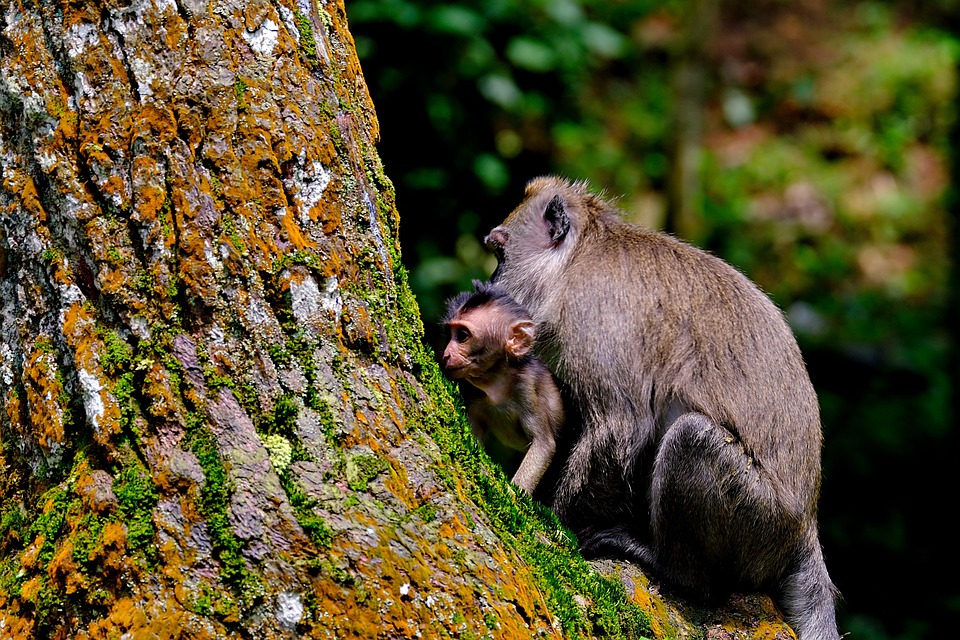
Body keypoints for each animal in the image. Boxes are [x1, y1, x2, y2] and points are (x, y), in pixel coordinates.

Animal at [441, 281, 564, 496]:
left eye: (462, 336)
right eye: (449, 334)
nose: (446, 355)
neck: (496, 382)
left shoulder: (527, 387)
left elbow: (543, 444)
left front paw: (514, 495)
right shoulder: (474, 394)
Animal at [483, 176, 840, 640]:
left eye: (499, 255)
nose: (488, 286)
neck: (578, 258)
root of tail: (807, 526)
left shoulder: (595, 315)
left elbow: (621, 426)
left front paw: (553, 523)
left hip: (763, 523)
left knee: (691, 437)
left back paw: (676, 570)